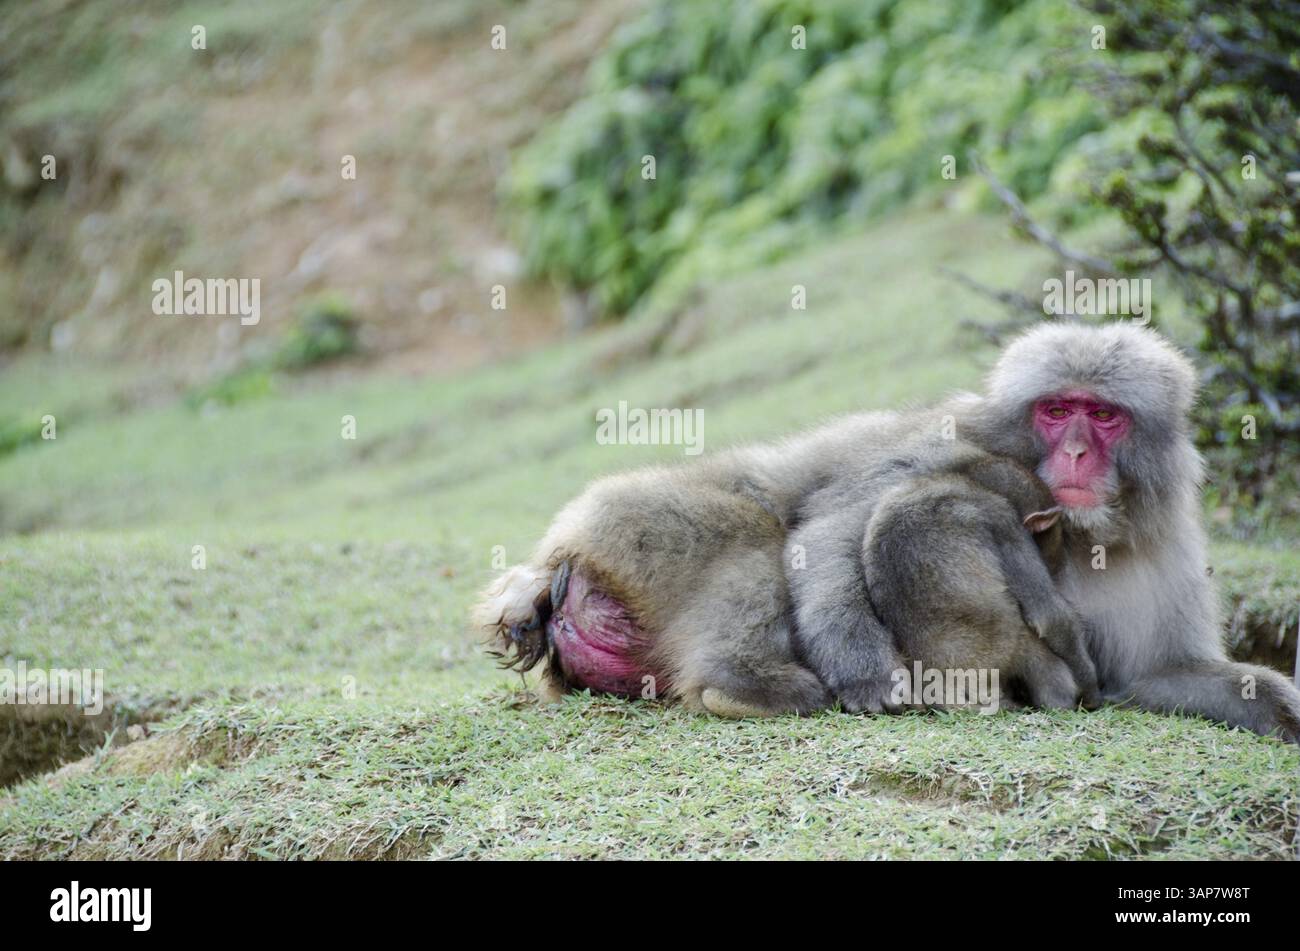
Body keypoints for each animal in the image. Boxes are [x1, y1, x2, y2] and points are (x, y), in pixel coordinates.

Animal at [473, 322, 1300, 741]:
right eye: (1055, 410)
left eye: (1103, 415)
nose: (1073, 454)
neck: (1093, 531)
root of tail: (561, 550)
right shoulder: (952, 444)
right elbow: (833, 526)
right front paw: (867, 669)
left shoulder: (1170, 546)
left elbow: (1159, 673)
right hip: (634, 525)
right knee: (763, 539)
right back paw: (745, 684)